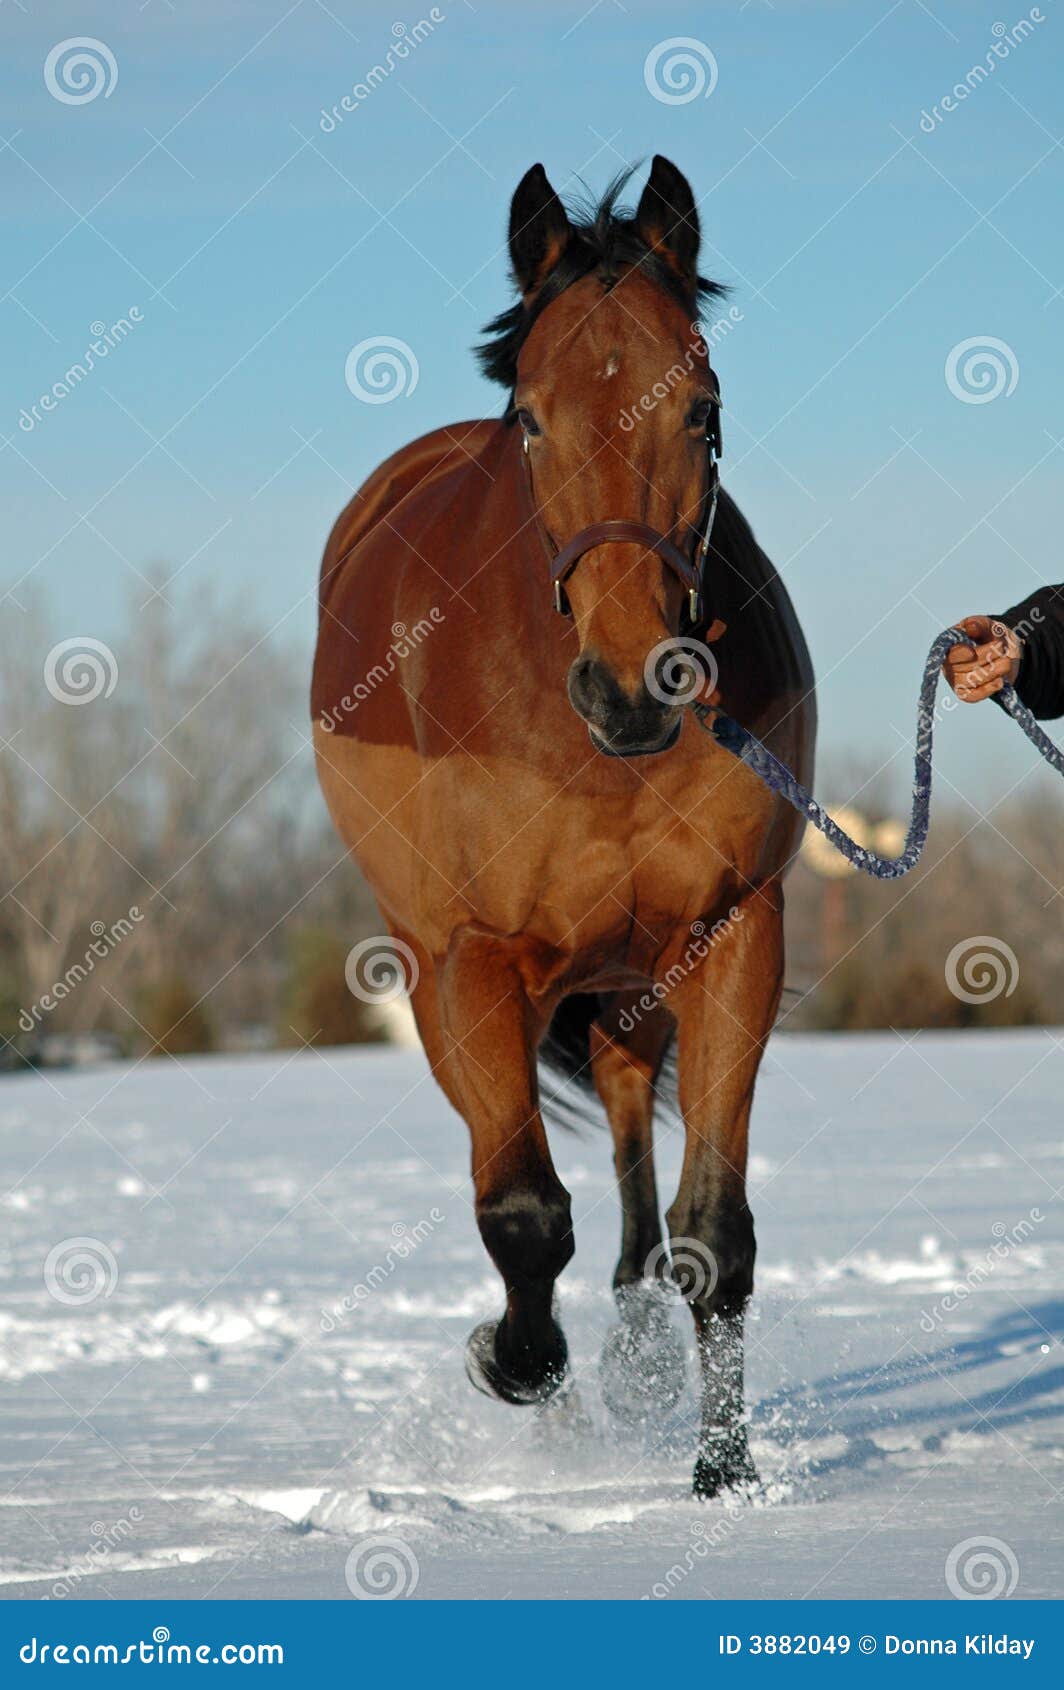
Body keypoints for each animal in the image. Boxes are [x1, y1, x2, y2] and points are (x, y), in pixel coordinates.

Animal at [312, 156, 815, 1497]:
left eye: (700, 408)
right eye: (531, 418)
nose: (637, 683)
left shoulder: (731, 931)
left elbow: (712, 1231)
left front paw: (725, 1477)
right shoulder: (478, 958)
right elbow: (522, 1212)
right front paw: (512, 1362)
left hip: (630, 975)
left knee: (635, 1124)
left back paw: (635, 1361)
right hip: (445, 976)